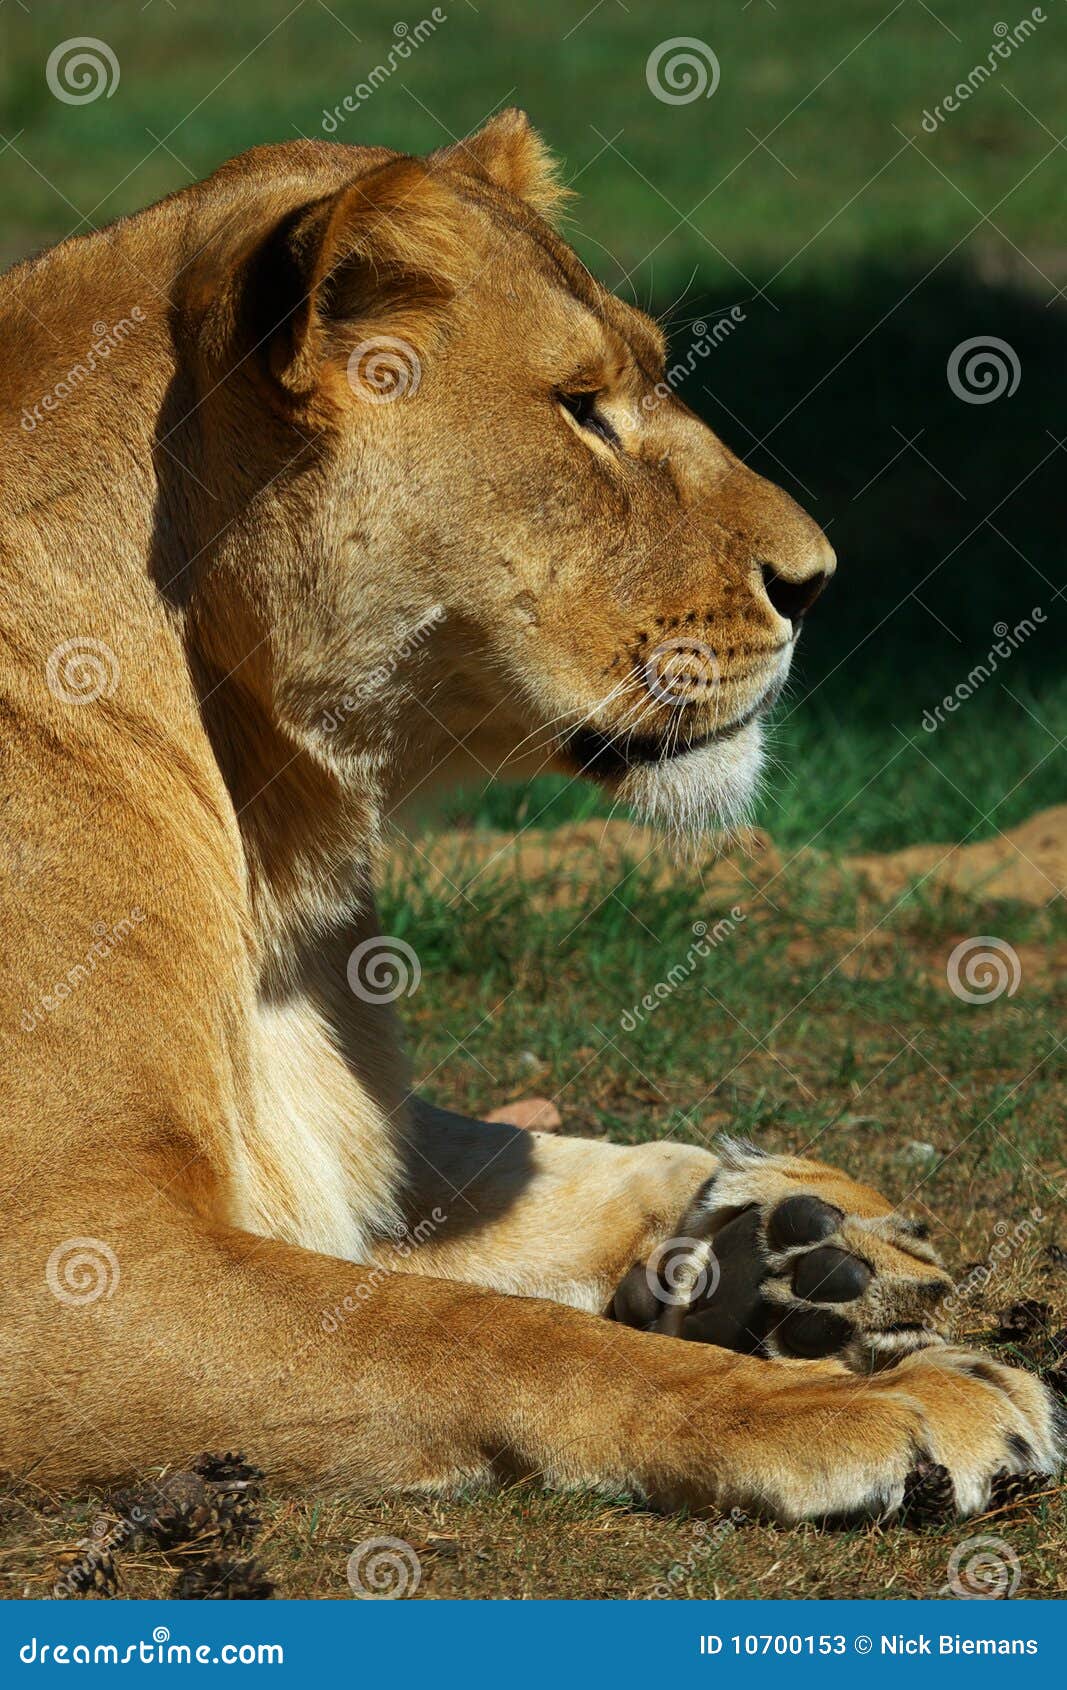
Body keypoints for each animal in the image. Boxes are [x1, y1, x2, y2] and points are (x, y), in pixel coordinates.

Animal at [0, 111, 1059, 1525]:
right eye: (579, 411)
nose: (816, 582)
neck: (272, 820)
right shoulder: (60, 1256)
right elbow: (470, 1330)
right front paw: (852, 1397)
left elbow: (510, 1159)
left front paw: (795, 1231)